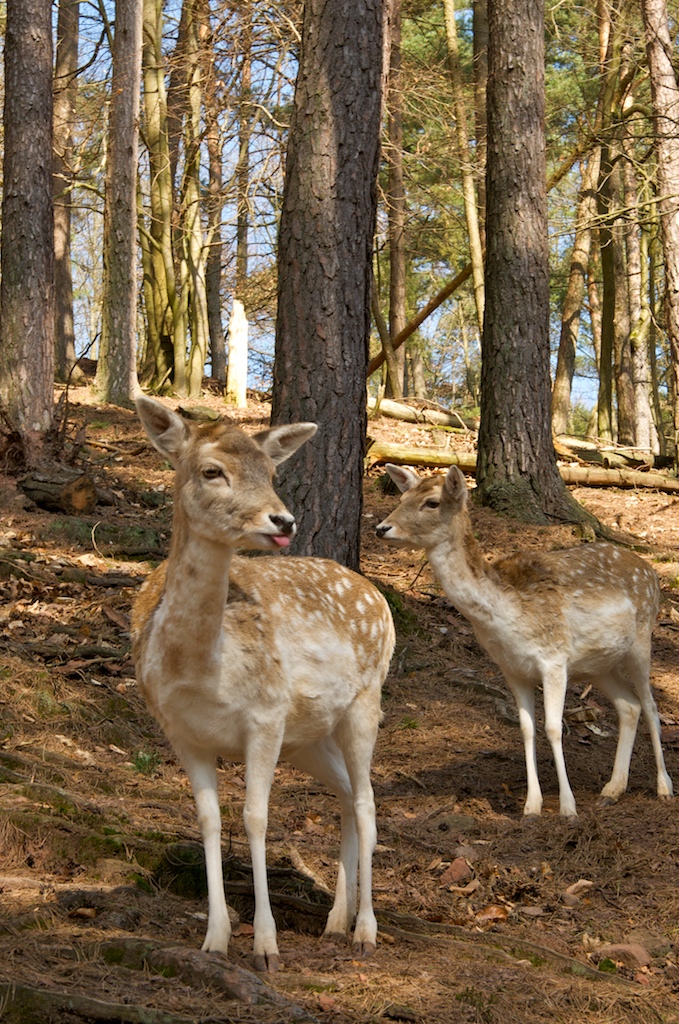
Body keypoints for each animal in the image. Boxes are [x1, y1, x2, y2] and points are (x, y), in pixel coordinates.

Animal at [131, 397, 393, 966]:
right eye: (212, 471)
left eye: (271, 473)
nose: (284, 520)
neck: (201, 670)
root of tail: (378, 594)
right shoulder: (180, 732)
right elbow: (208, 820)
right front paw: (215, 937)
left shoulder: (266, 717)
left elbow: (255, 817)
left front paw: (266, 945)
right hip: (310, 737)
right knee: (345, 795)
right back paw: (335, 921)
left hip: (367, 700)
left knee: (367, 802)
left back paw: (365, 929)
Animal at [376, 468, 675, 819]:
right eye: (403, 497)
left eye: (432, 502)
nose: (382, 528)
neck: (505, 619)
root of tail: (651, 572)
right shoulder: (513, 669)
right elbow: (526, 729)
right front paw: (532, 806)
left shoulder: (554, 659)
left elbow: (554, 728)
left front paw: (567, 808)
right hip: (599, 665)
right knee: (629, 706)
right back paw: (612, 790)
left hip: (641, 639)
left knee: (651, 706)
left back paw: (664, 787)